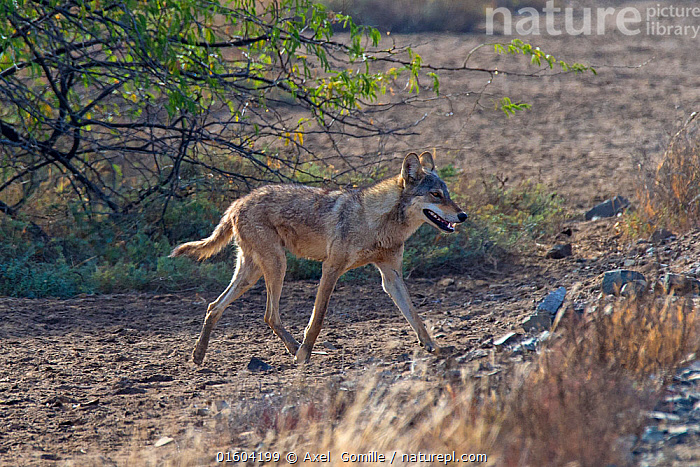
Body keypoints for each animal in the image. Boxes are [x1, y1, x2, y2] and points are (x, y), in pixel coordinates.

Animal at [170, 152, 468, 364]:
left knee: (215, 307)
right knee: (267, 315)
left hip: (252, 273)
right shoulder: (330, 268)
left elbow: (416, 317)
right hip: (276, 266)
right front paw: (304, 353)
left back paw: (199, 356)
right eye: (435, 195)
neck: (377, 222)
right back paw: (296, 351)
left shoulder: (391, 276)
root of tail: (237, 202)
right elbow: (317, 320)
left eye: (447, 195)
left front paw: (435, 347)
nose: (463, 215)